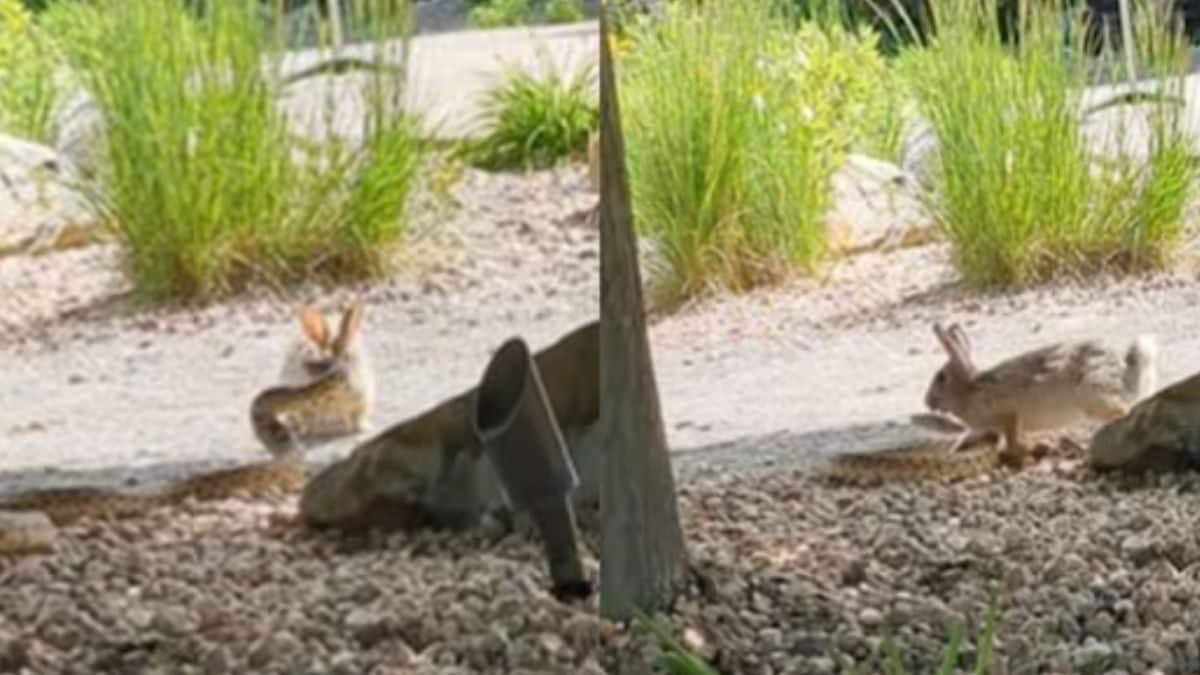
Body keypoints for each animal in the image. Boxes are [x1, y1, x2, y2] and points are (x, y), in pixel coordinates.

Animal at [250, 299, 376, 456]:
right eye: (325, 362)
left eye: (349, 357)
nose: (342, 377)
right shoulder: (304, 409)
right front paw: (306, 432)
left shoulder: (362, 401)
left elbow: (356, 419)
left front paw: (362, 429)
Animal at [923, 322, 1157, 468]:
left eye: (941, 378)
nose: (927, 401)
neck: (969, 389)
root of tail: (1128, 377)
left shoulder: (1008, 416)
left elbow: (1013, 439)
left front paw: (1023, 455)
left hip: (1093, 395)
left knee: (1123, 413)